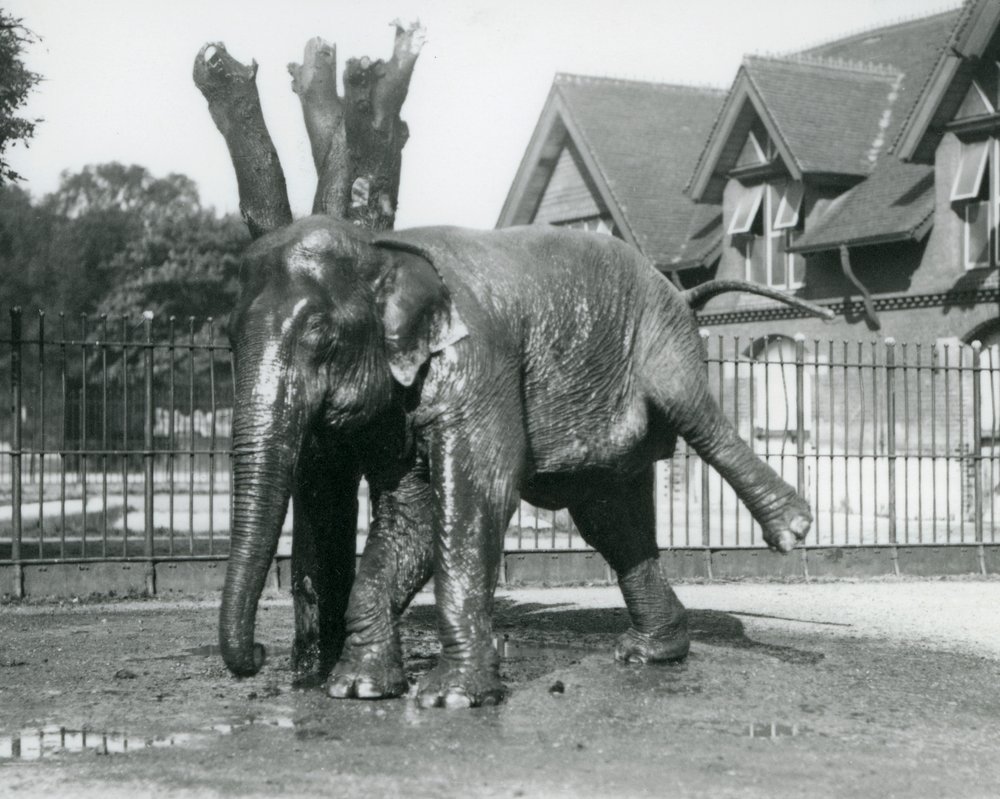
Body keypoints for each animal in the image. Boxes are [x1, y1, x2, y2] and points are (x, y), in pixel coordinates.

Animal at [220, 214, 831, 708]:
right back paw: (648, 653)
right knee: (613, 524)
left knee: (695, 413)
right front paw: (358, 689)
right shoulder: (395, 404)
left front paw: (450, 700)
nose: (257, 653)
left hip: (662, 338)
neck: (380, 248)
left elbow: (477, 495)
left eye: (320, 337)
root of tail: (679, 292)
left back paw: (792, 528)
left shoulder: (479, 361)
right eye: (227, 340)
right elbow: (408, 516)